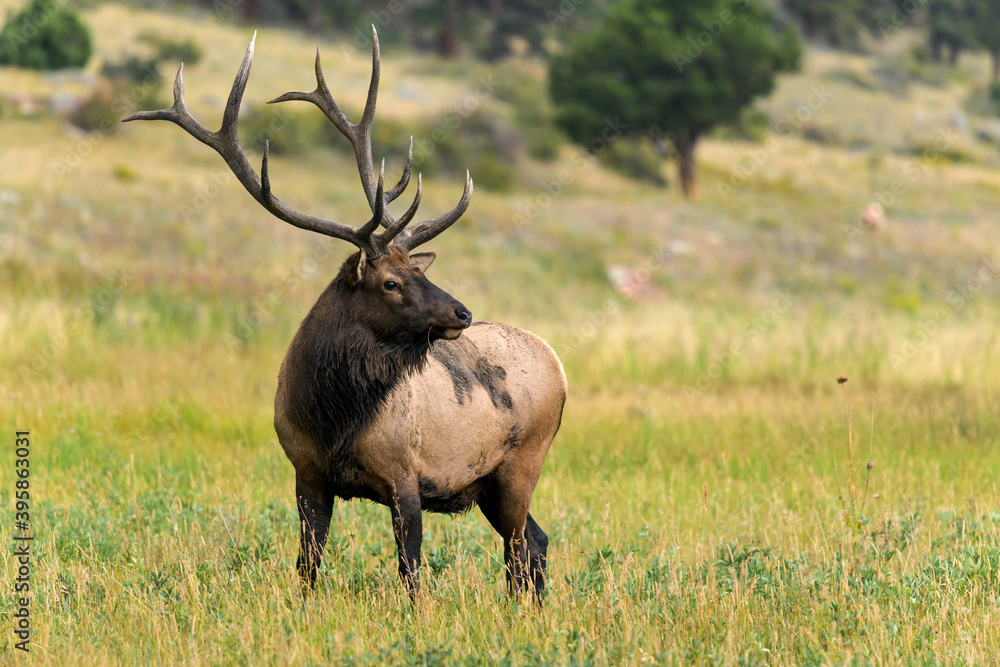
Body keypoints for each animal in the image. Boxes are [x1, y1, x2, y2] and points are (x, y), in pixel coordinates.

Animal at [123, 29, 566, 602]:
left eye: (415, 271)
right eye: (391, 282)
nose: (462, 312)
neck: (333, 419)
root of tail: (558, 364)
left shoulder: (406, 476)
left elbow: (410, 570)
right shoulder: (306, 473)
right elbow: (307, 564)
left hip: (521, 464)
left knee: (522, 546)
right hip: (491, 484)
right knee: (535, 540)